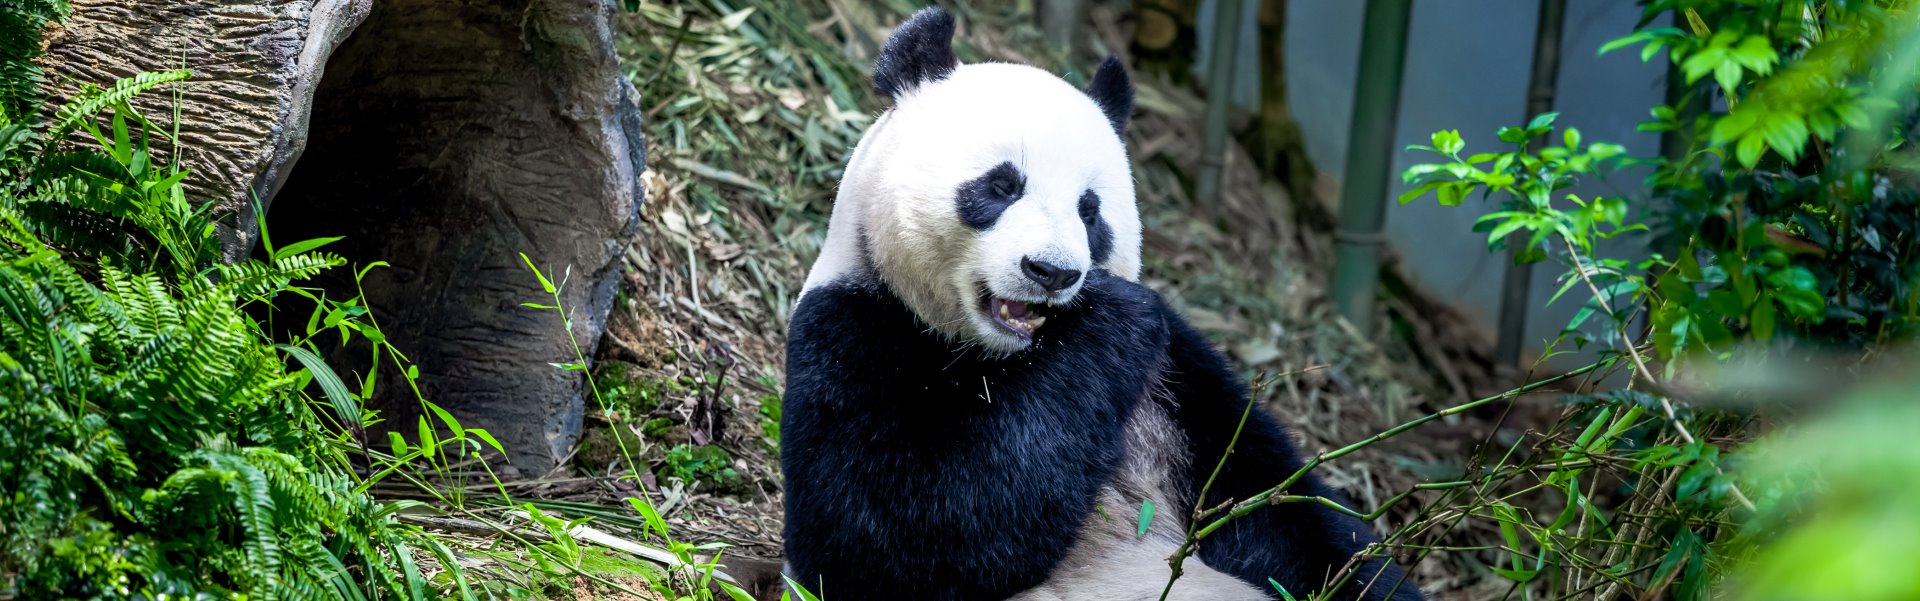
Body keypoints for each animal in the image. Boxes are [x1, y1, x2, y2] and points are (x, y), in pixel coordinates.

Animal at [781, 8, 1423, 601]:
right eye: (1001, 186)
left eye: (1089, 211)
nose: (1052, 272)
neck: (1008, 357)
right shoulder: (854, 330)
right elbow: (890, 535)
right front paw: (1112, 314)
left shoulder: (1178, 381)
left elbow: (1281, 506)